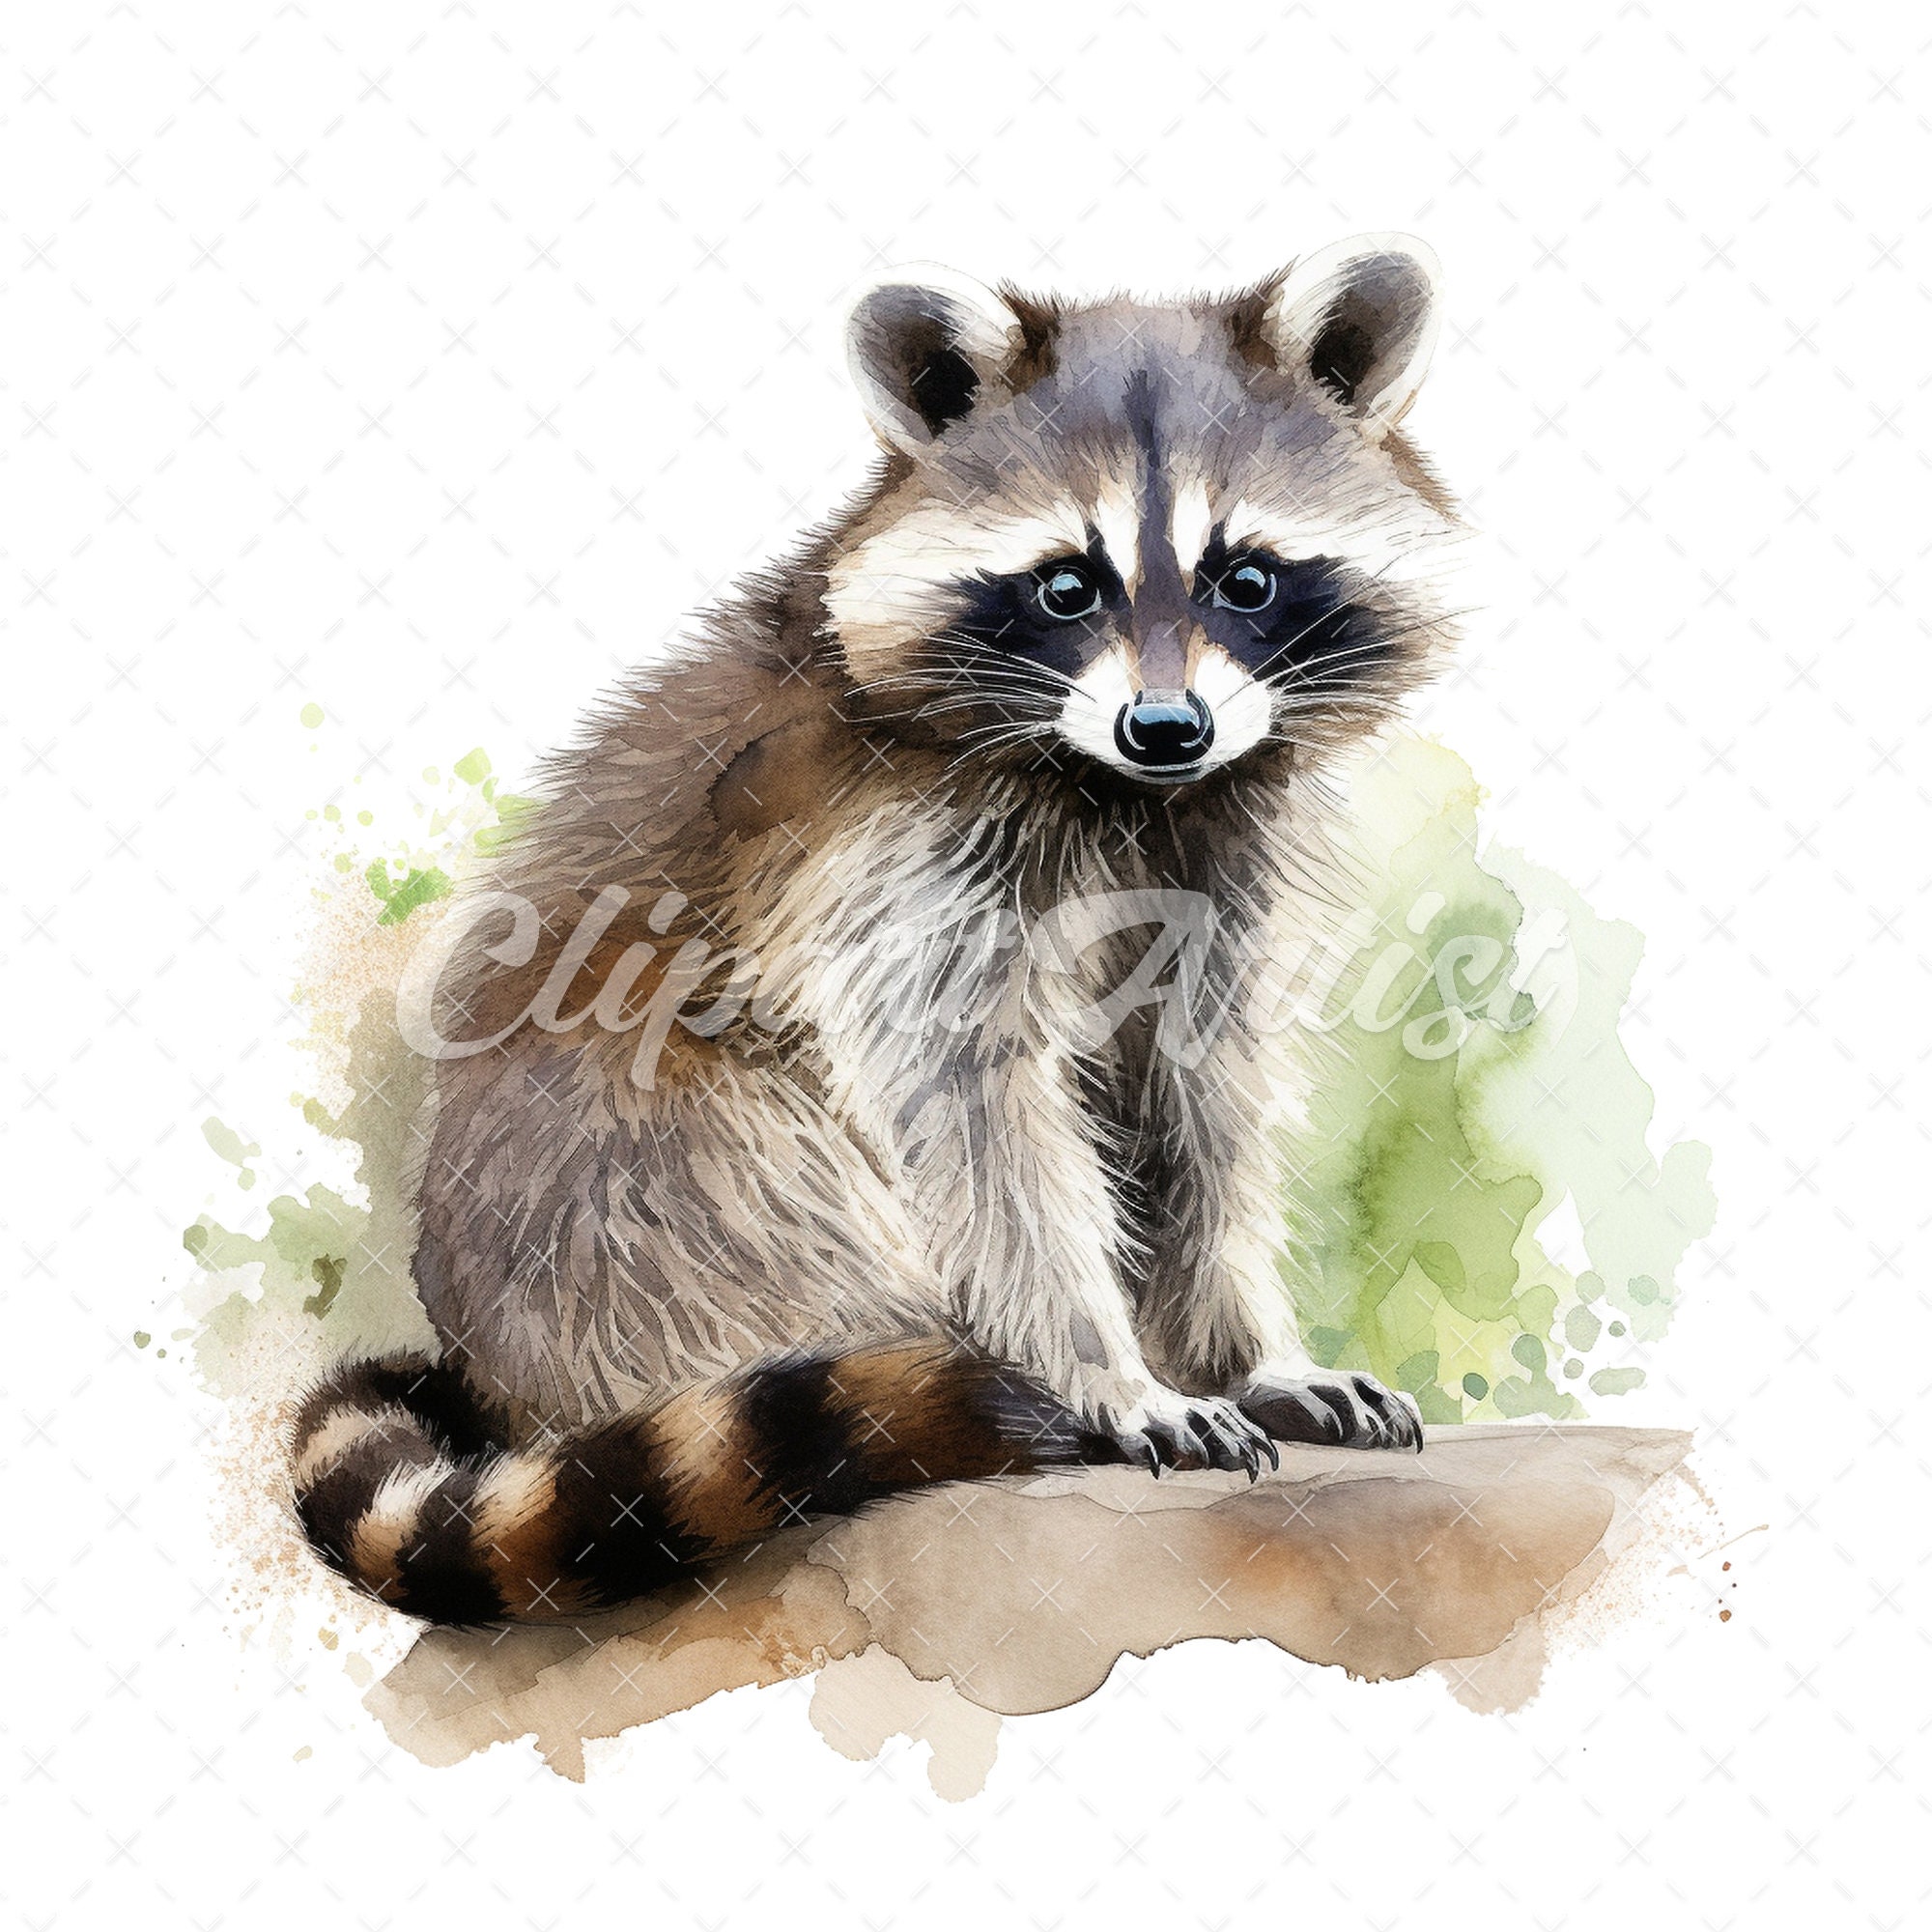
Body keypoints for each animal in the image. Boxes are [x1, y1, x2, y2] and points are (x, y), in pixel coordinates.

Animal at [293, 234, 1462, 1626]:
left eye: (1245, 577)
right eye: (1066, 585)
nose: (1166, 726)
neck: (1127, 792)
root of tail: (498, 1381)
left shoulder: (1219, 863)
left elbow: (1201, 1107)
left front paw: (1248, 1346)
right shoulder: (900, 860)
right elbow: (973, 1118)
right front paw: (1103, 1370)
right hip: (612, 1203)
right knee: (757, 1161)